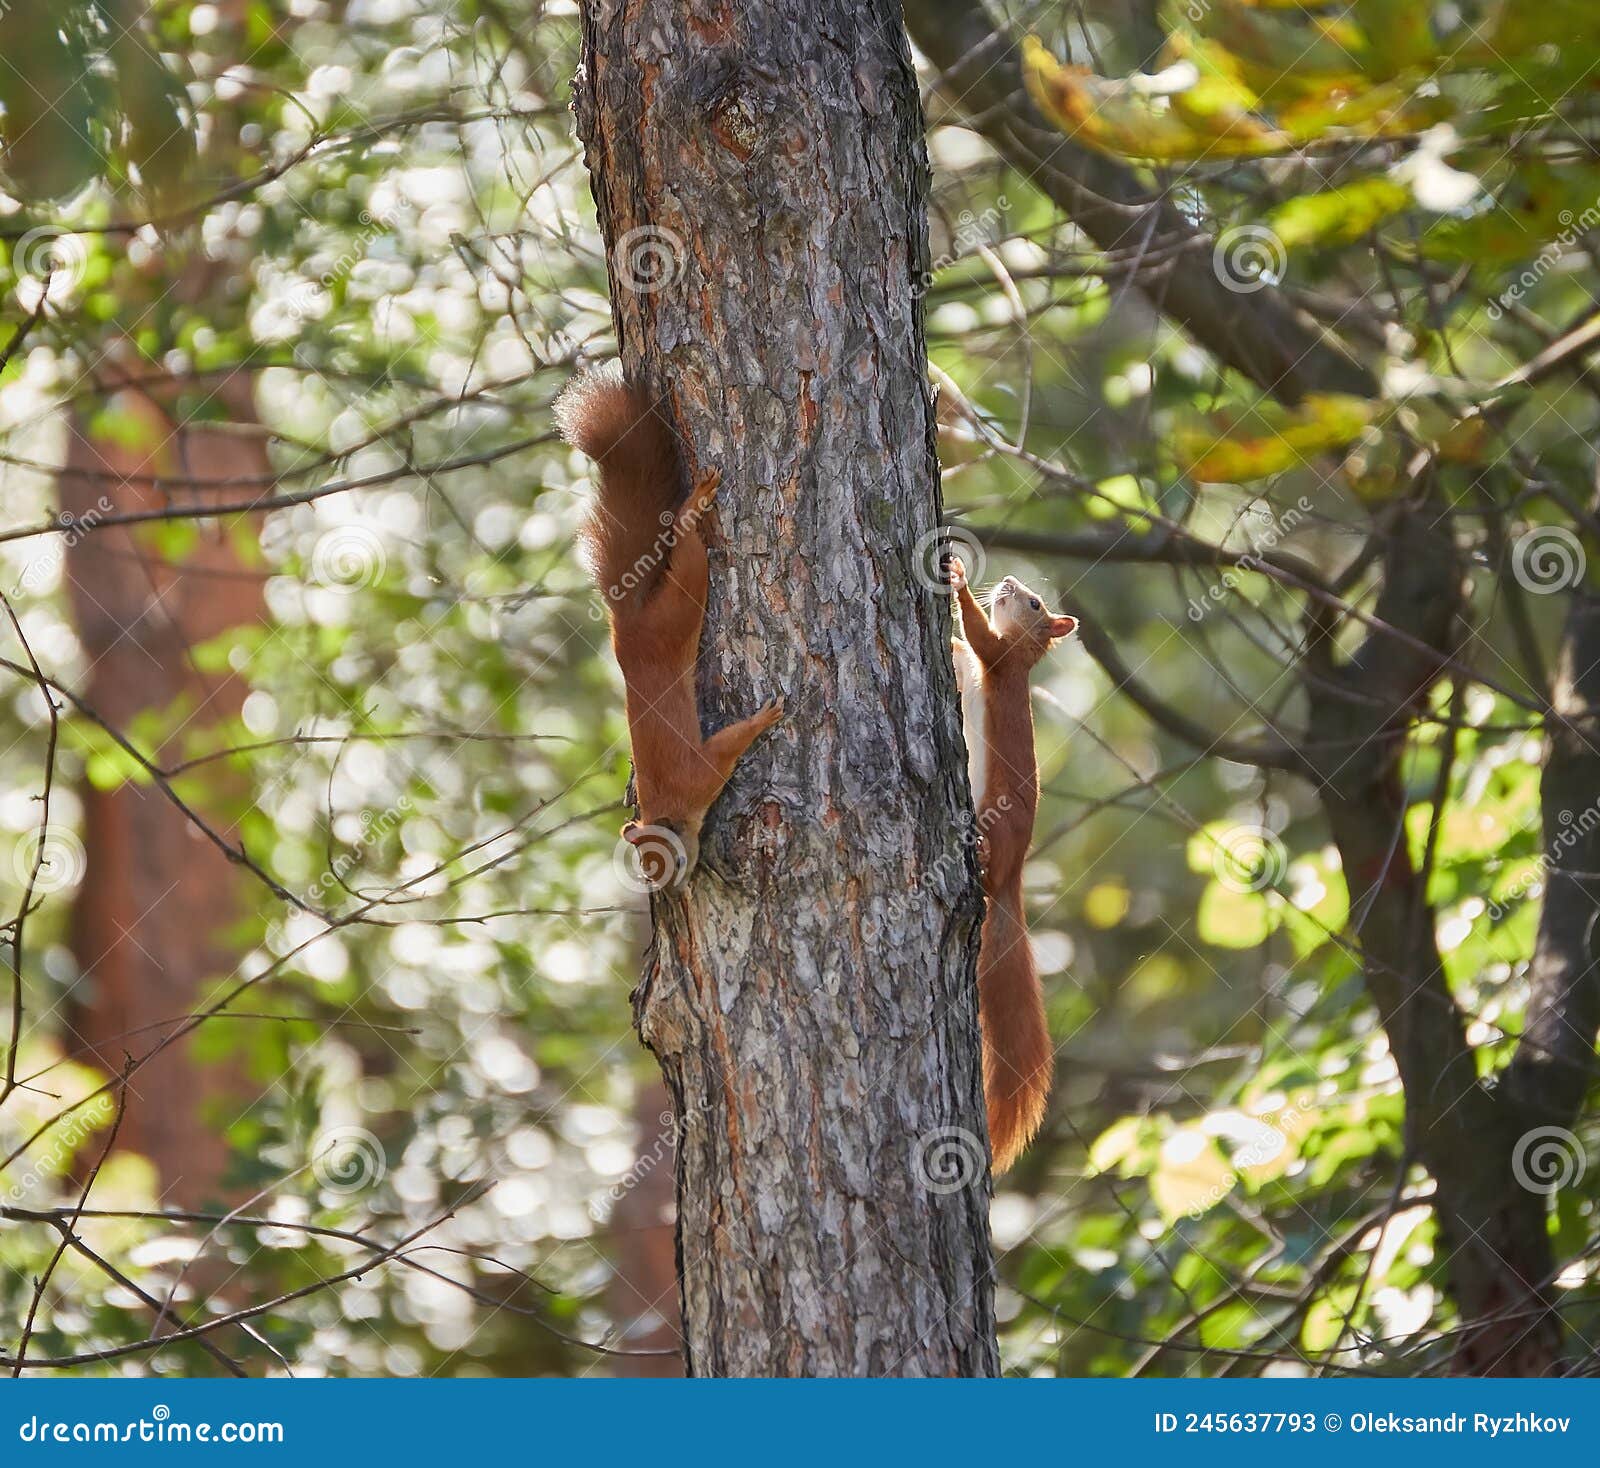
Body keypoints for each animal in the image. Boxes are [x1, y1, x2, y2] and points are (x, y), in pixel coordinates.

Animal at [554, 371, 783, 889]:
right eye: (645, 870)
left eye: (670, 860)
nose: (674, 889)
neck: (669, 807)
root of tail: (628, 625)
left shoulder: (701, 774)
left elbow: (728, 745)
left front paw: (763, 719)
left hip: (681, 601)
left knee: (685, 543)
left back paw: (694, 506)